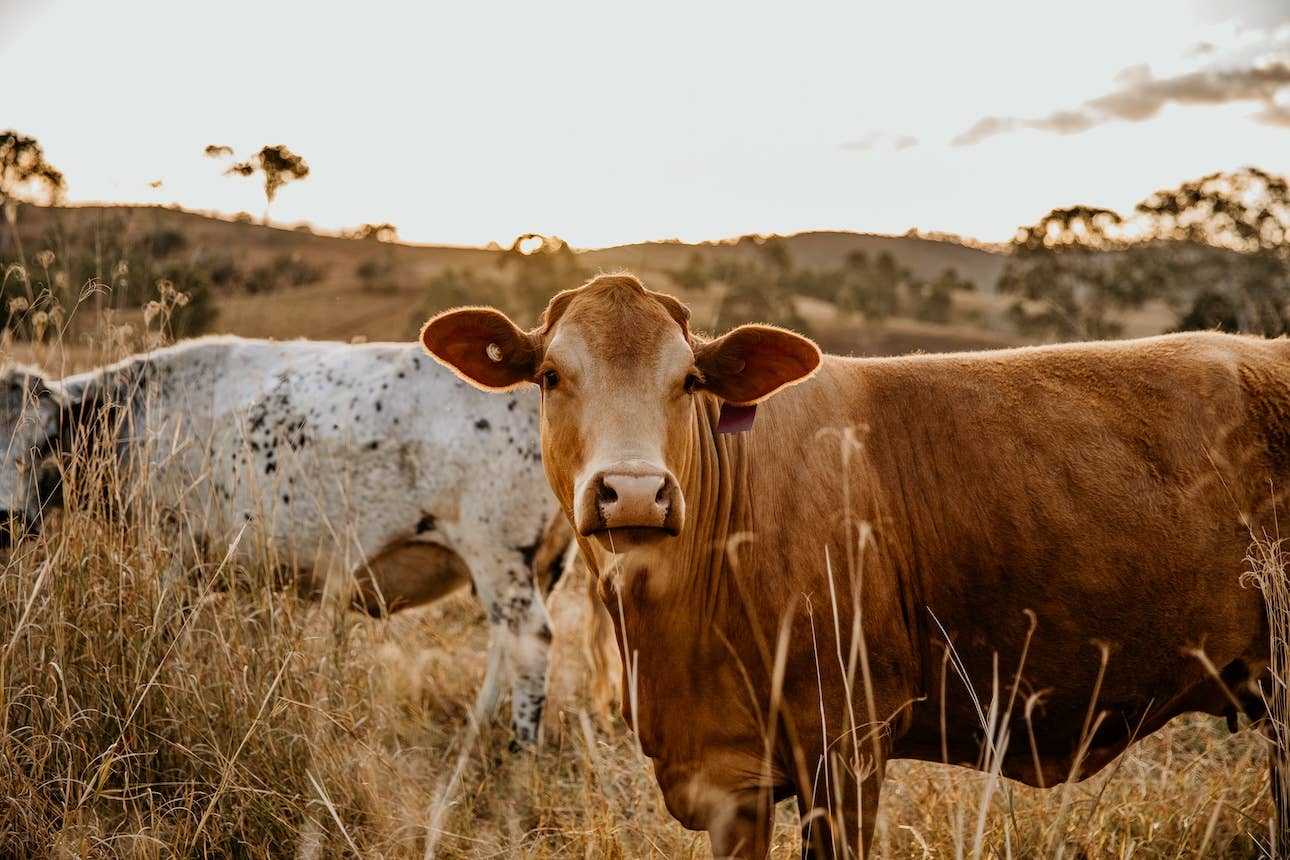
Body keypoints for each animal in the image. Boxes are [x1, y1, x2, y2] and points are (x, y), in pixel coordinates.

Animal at [0, 336, 570, 745]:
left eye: (43, 442)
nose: (7, 519)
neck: (139, 417)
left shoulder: (175, 555)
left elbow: (160, 637)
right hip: (533, 568)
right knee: (505, 647)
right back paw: (478, 731)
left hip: (498, 555)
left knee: (531, 642)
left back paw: (519, 749)